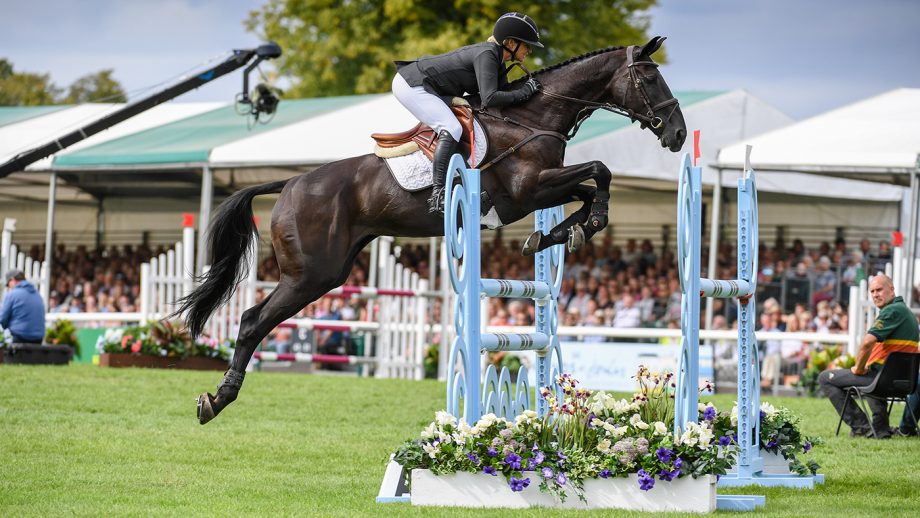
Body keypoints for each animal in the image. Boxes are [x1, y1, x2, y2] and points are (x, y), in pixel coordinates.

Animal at [182, 36, 687, 424]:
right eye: (650, 78)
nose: (678, 134)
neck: (532, 116)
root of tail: (288, 183)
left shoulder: (540, 190)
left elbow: (589, 185)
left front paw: (559, 234)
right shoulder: (526, 192)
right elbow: (600, 170)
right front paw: (582, 224)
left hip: (329, 271)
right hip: (311, 274)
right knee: (252, 321)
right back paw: (216, 400)